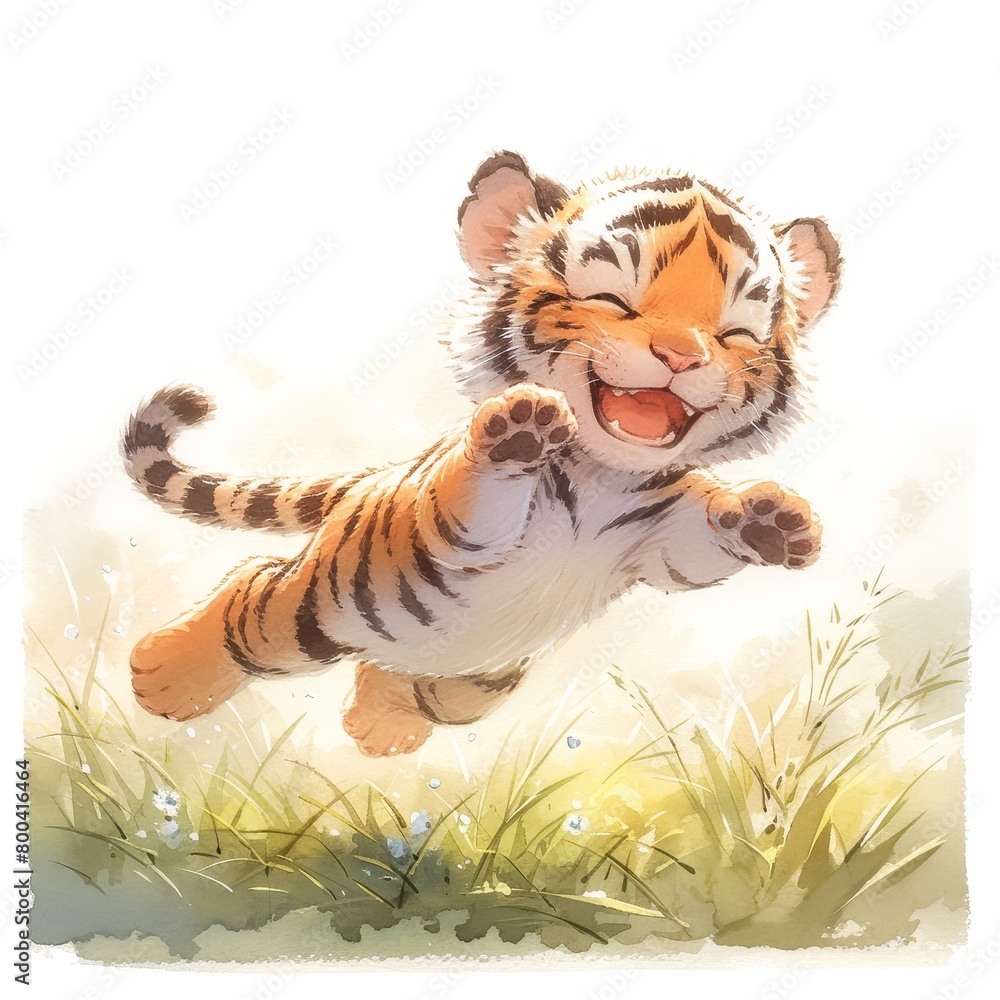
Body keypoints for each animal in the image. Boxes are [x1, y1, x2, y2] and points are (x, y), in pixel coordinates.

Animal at [122, 150, 841, 757]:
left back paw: (380, 728)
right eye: (611, 299)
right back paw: (160, 675)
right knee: (254, 590)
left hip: (475, 679)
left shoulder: (664, 537)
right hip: (326, 602)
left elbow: (697, 544)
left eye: (734, 333)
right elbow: (476, 501)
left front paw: (772, 523)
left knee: (408, 680)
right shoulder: (443, 517)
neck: (601, 475)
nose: (682, 355)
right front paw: (521, 428)